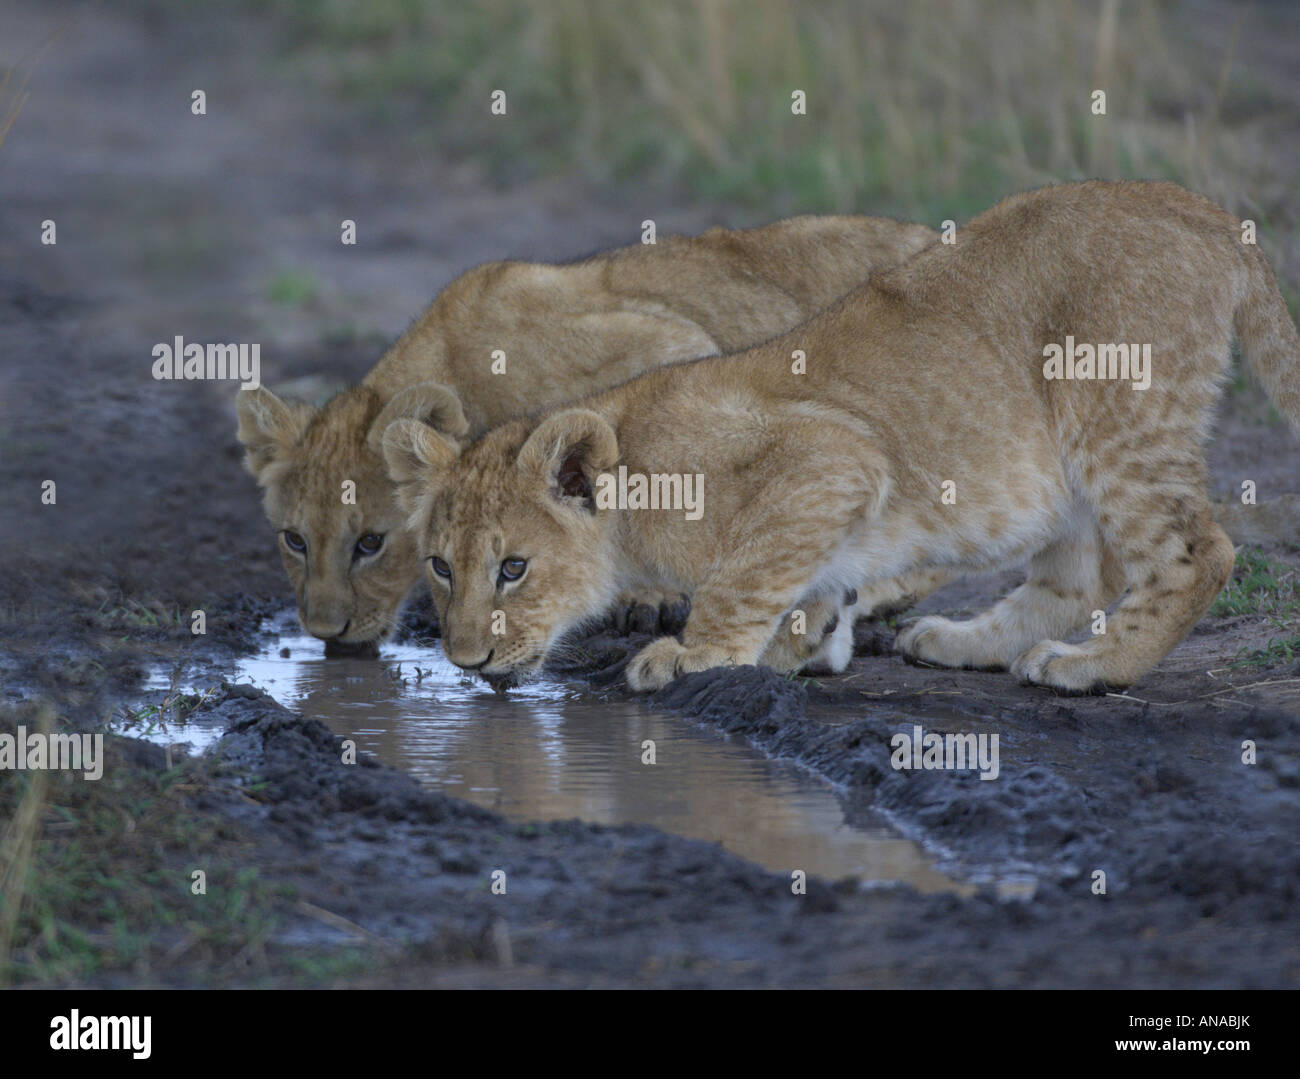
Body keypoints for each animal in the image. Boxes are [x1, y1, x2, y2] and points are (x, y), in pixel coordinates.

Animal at [236, 215, 939, 653]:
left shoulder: (668, 345)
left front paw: (650, 597)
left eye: (371, 543)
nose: (326, 635)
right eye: (293, 540)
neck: (462, 368)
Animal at [384, 181, 1299, 694]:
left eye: (513, 568)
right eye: (439, 565)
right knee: (1082, 575)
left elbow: (740, 576)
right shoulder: (830, 490)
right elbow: (804, 582)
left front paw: (693, 656)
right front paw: (802, 642)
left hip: (1115, 411)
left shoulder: (833, 456)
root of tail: (1198, 207)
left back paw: (1094, 668)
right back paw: (968, 643)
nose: (464, 659)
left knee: (1197, 552)